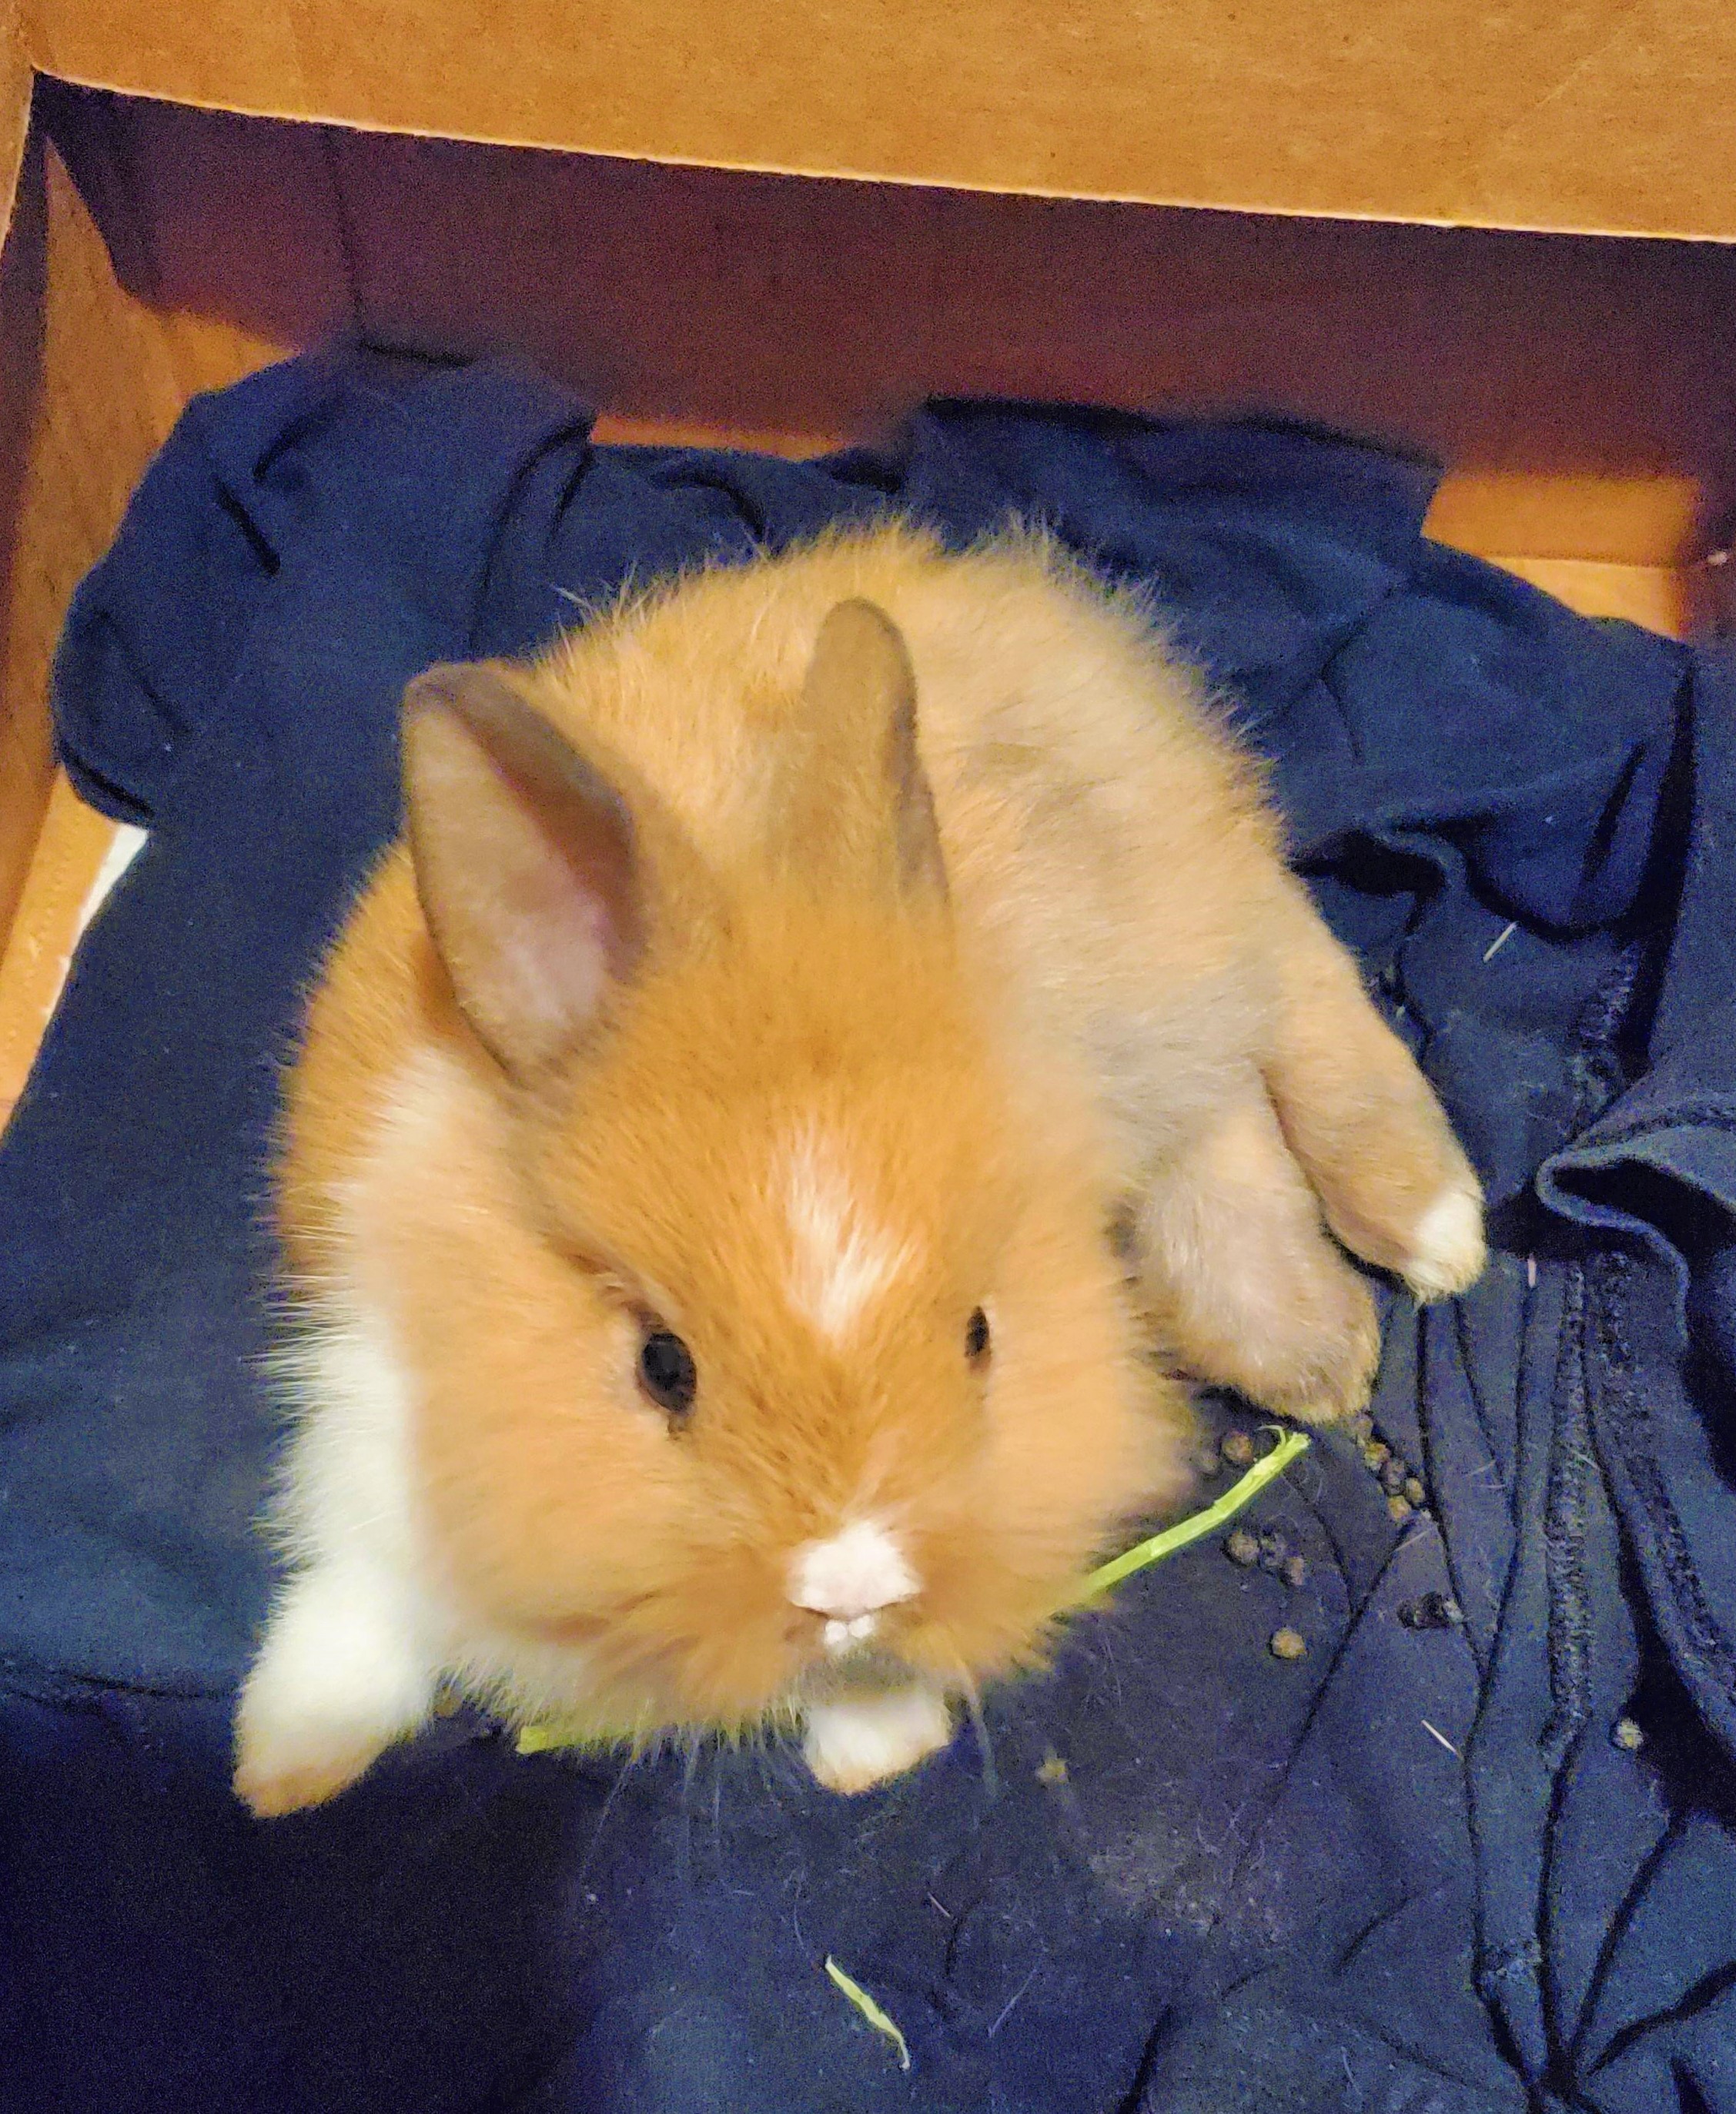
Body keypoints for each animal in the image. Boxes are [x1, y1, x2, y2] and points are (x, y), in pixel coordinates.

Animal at [233, 521, 1484, 1818]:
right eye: (661, 1366)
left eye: (977, 1335)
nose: (849, 1583)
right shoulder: (366, 1413)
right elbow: (354, 1602)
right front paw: (285, 1761)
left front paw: (874, 1743)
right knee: (1230, 1090)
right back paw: (1307, 1342)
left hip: (1172, 925)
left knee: (1290, 961)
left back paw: (1419, 1245)